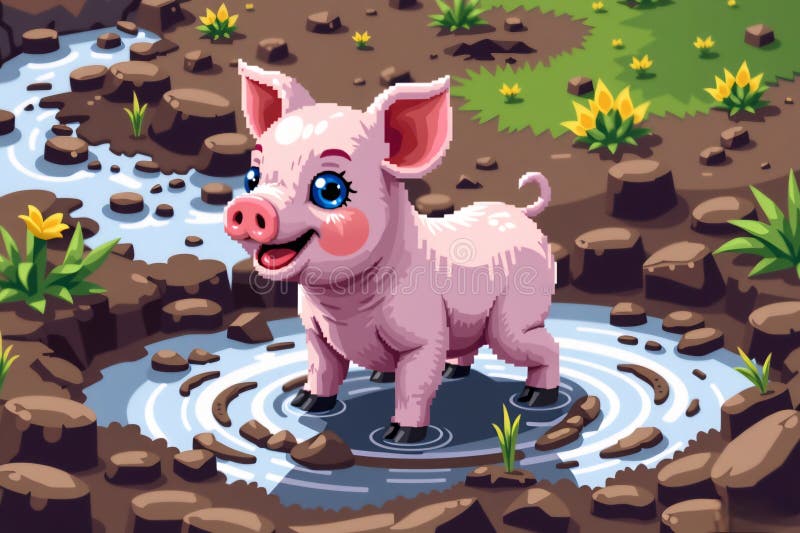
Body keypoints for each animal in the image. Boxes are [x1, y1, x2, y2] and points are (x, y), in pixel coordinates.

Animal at [224, 61, 559, 443]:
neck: (343, 301)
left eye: (330, 189)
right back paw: (452, 374)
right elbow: (321, 369)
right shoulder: (315, 331)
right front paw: (305, 404)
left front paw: (399, 437)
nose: (252, 206)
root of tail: (522, 215)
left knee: (541, 343)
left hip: (517, 313)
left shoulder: (423, 335)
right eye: (252, 178)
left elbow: (414, 386)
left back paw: (535, 398)